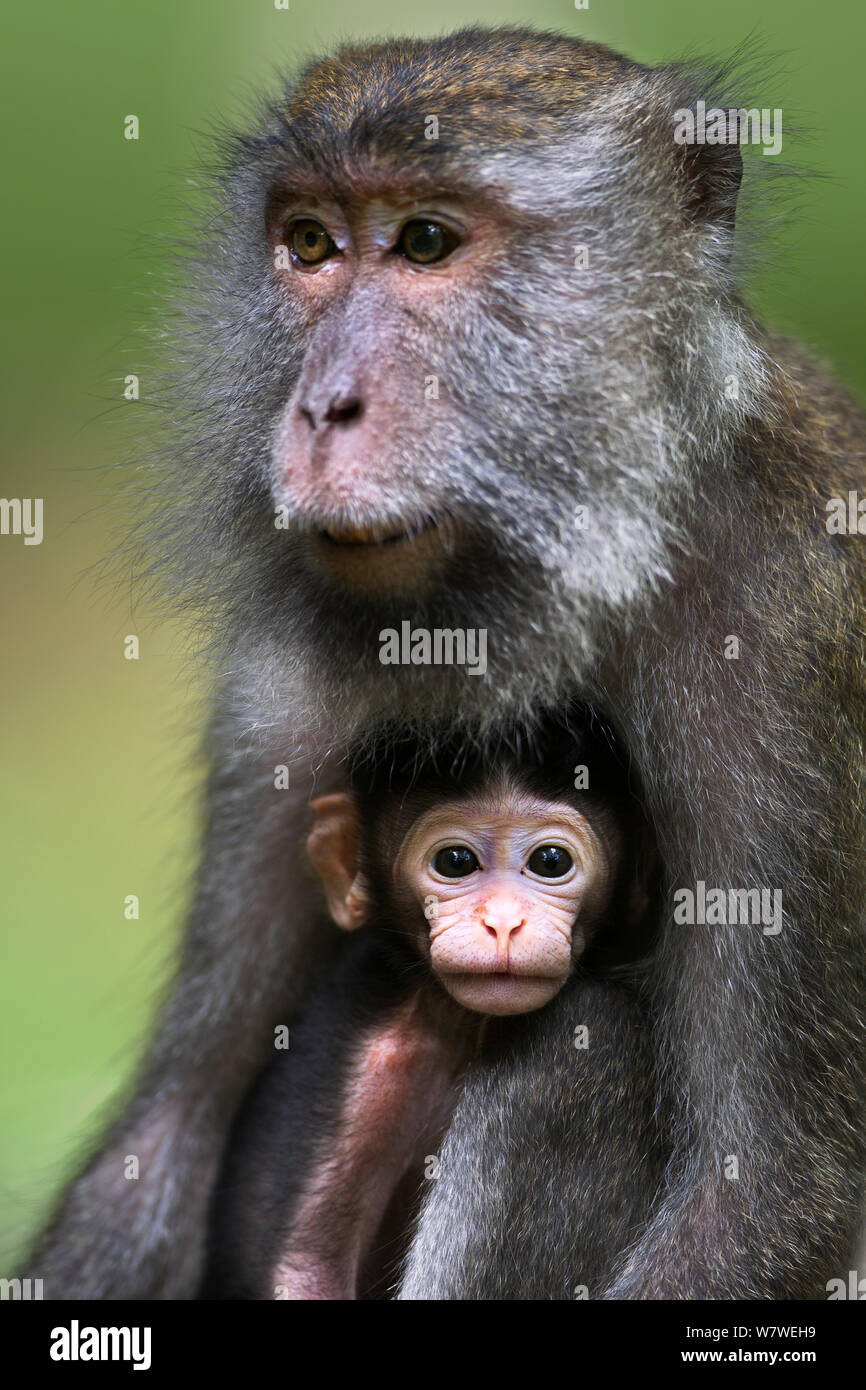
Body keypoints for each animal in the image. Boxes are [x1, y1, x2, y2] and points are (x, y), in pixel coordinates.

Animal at [201, 723, 664, 1299]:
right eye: (455, 862)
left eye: (551, 861)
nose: (503, 922)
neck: (469, 1026)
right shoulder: (371, 1061)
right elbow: (305, 1266)